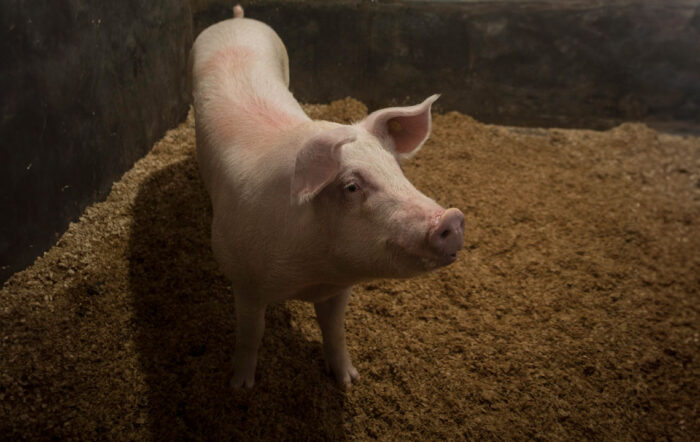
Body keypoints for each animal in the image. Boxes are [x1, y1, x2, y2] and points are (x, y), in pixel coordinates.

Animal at [190, 6, 465, 388]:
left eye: (396, 168)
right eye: (351, 187)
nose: (451, 218)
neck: (311, 272)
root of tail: (237, 19)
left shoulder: (339, 286)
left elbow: (334, 331)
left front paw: (349, 381)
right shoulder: (243, 279)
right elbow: (251, 334)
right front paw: (240, 387)